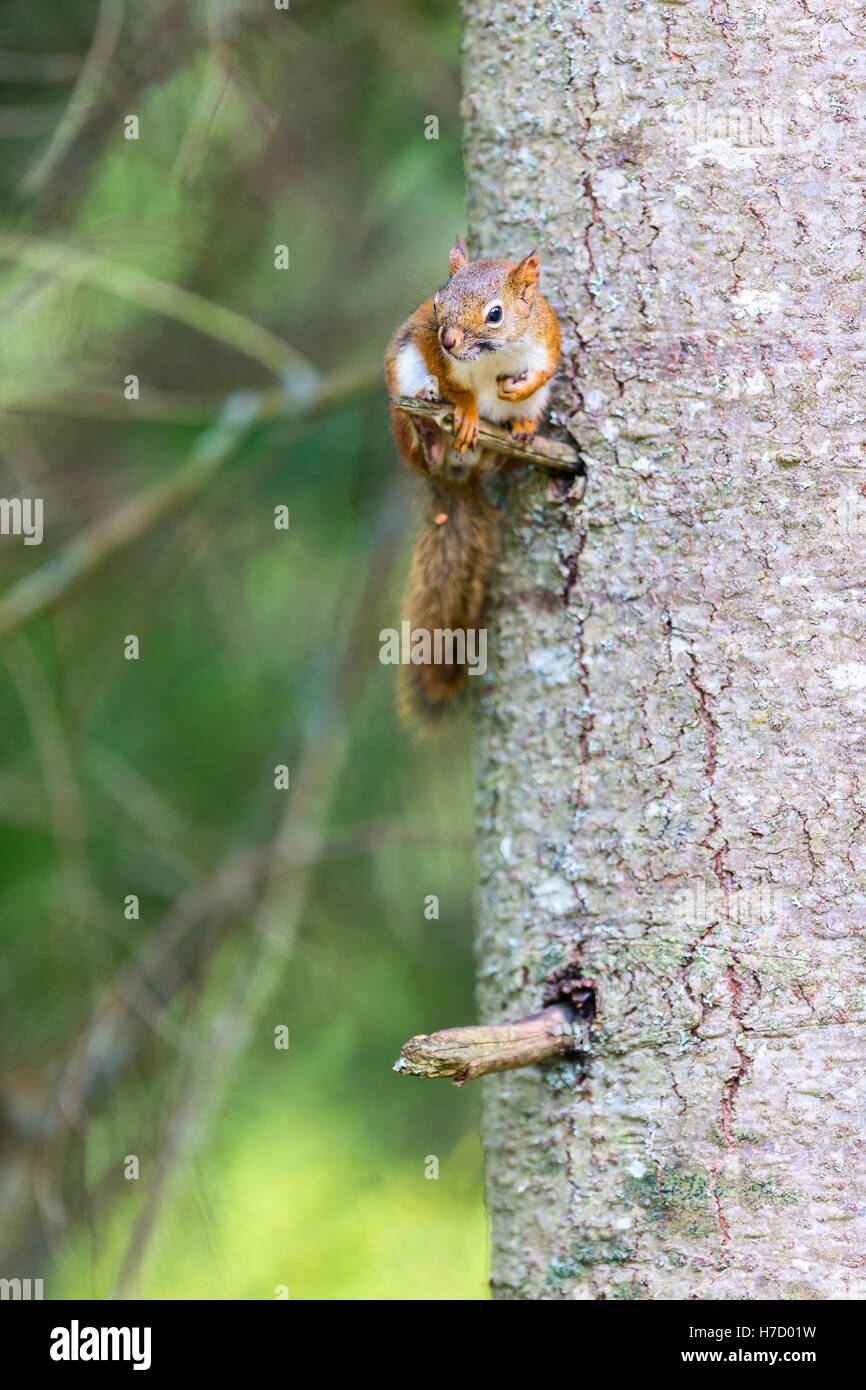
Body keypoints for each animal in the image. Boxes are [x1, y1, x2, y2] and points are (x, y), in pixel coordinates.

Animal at [384, 237, 561, 725]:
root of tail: (455, 479)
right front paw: (464, 410)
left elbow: (547, 369)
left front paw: (518, 389)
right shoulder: (428, 346)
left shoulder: (547, 339)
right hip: (402, 388)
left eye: (495, 314)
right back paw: (430, 436)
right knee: (423, 436)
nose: (448, 338)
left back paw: (519, 432)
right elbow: (456, 387)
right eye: (437, 302)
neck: (492, 357)